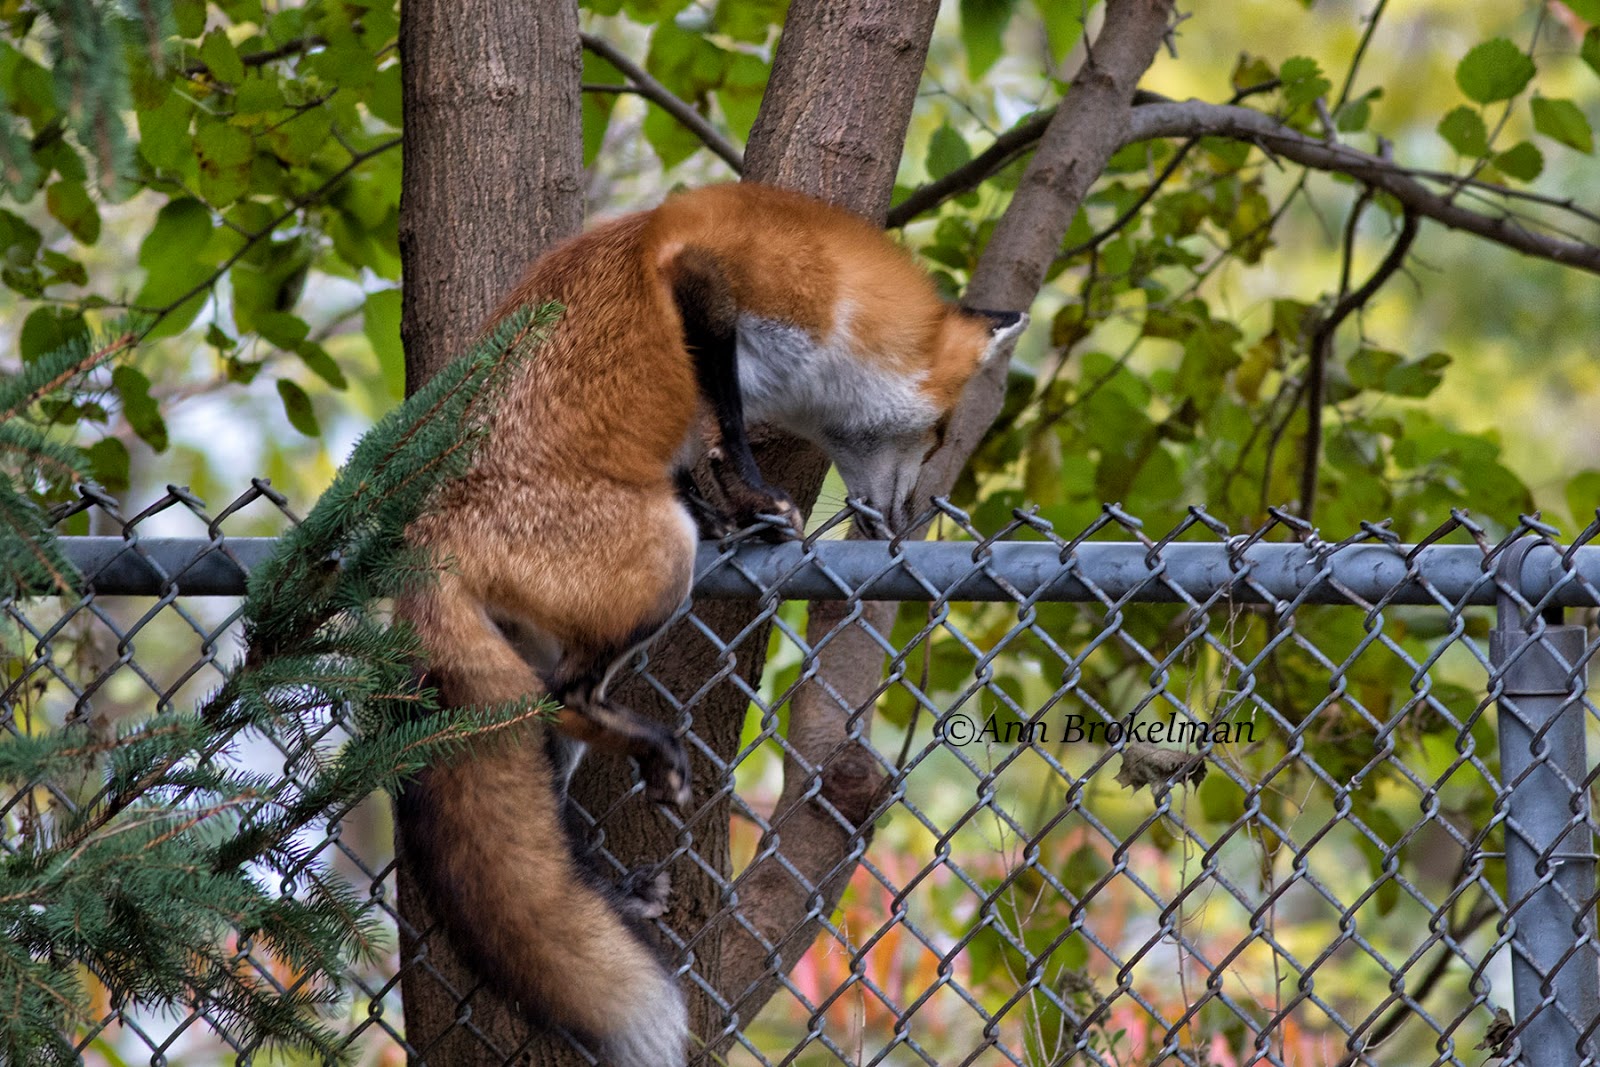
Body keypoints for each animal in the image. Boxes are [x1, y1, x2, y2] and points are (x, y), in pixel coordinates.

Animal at [395, 182, 1025, 1067]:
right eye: (938, 434)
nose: (902, 526)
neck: (839, 304)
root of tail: (433, 539)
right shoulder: (709, 280)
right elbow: (725, 423)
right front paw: (757, 500)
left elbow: (702, 454)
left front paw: (737, 514)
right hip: (663, 556)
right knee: (572, 694)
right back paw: (652, 758)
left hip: (539, 683)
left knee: (553, 764)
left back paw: (617, 897)